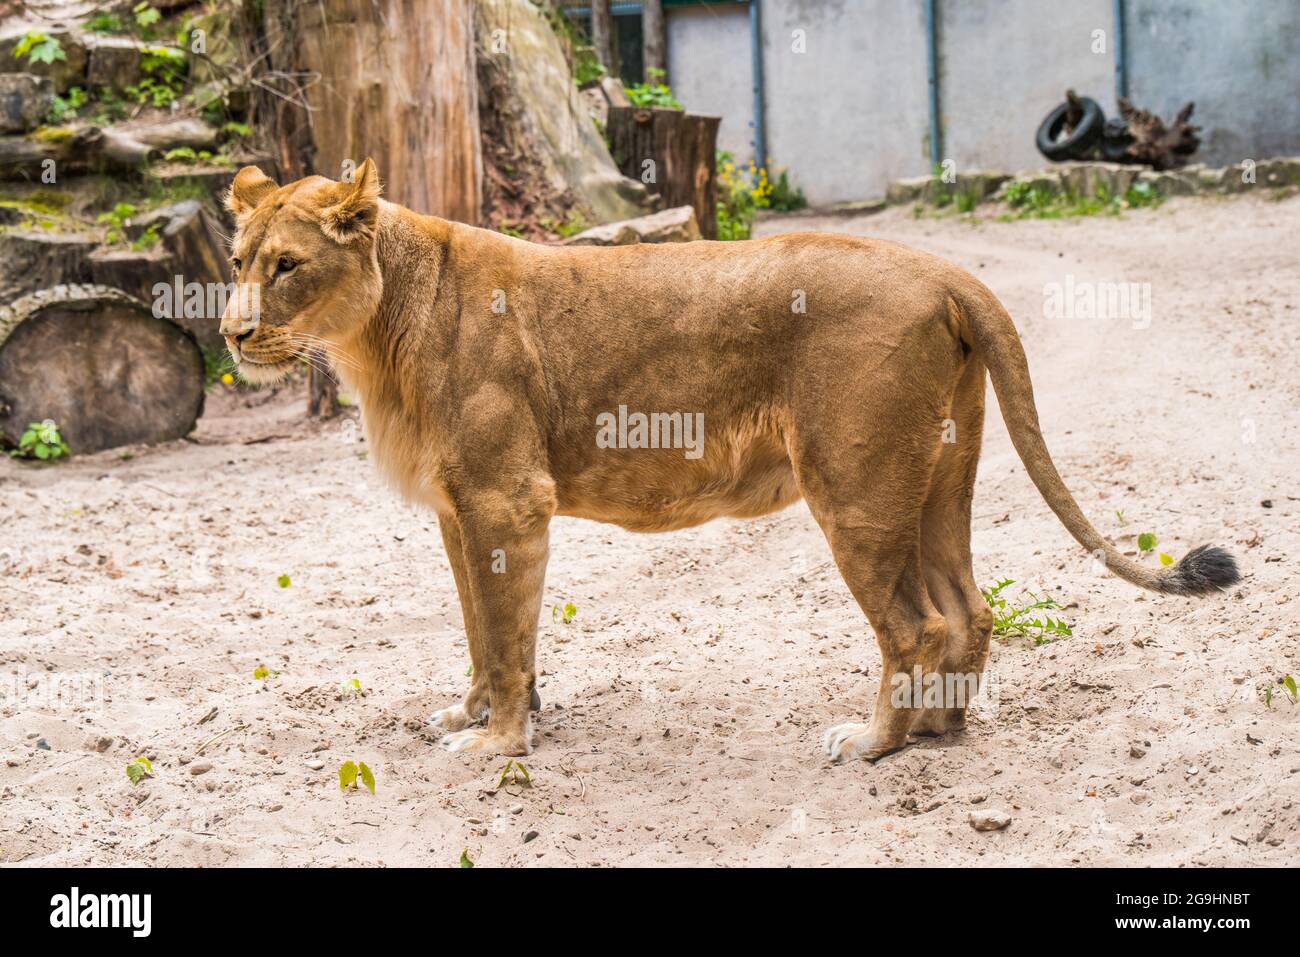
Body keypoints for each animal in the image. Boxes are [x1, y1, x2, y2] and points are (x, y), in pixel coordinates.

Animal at [219, 160, 1240, 762]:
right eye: (236, 260)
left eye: (286, 266)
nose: (229, 333)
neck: (377, 333)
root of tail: (946, 271)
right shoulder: (458, 509)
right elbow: (480, 626)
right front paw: (472, 715)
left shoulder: (508, 498)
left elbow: (505, 634)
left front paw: (499, 743)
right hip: (939, 480)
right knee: (969, 608)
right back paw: (939, 726)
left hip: (856, 488)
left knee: (913, 625)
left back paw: (873, 742)